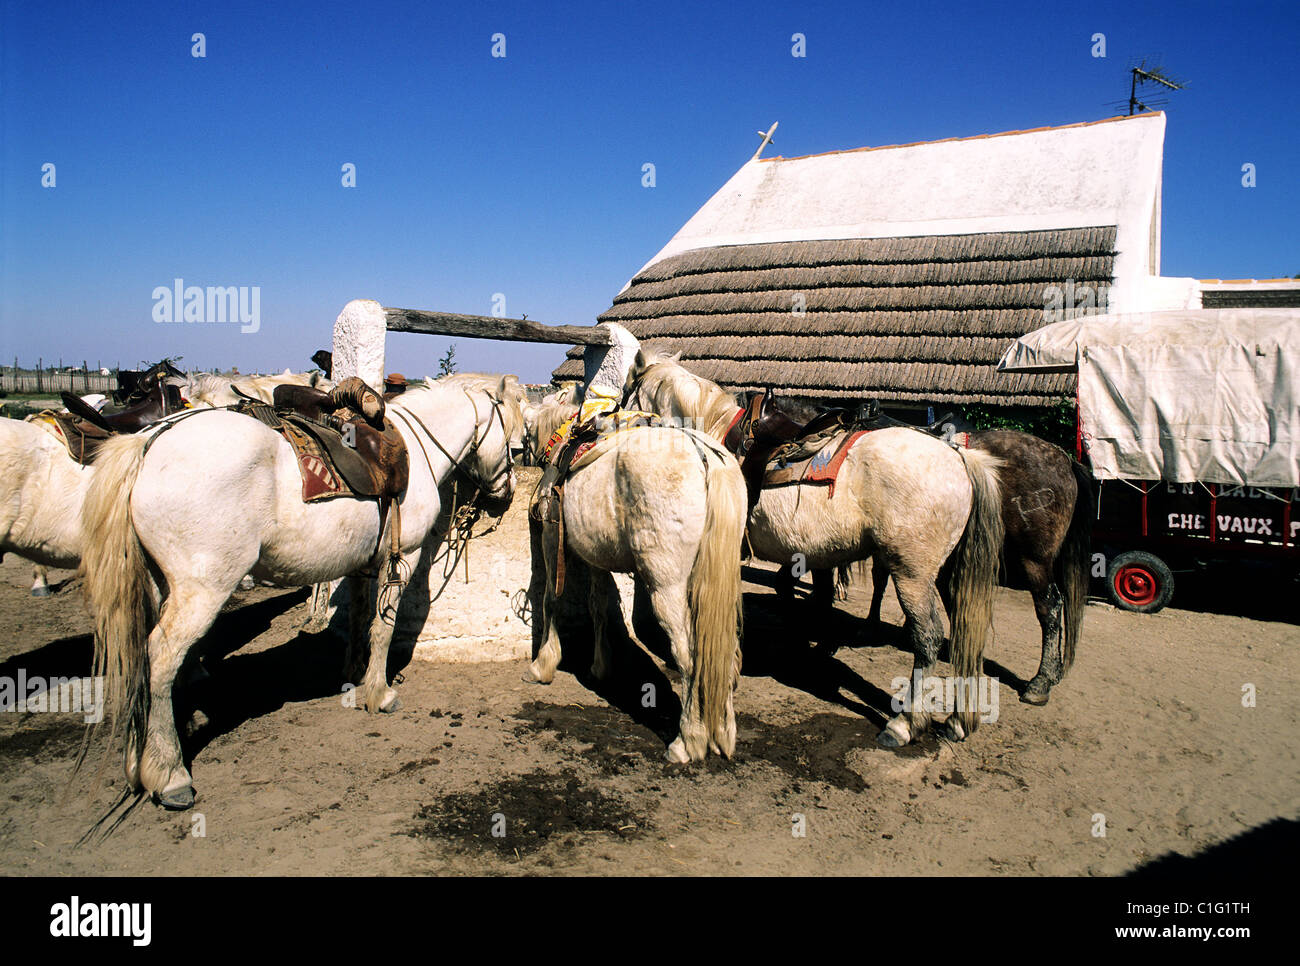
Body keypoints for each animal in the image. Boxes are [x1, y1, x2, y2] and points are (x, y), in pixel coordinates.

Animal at [78, 377, 521, 809]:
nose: (507, 493)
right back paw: (170, 775)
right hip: (200, 591)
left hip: (158, 587)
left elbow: (359, 617)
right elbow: (383, 628)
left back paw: (137, 764)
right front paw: (379, 693)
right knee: (161, 659)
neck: (416, 446)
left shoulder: (361, 562)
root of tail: (149, 442)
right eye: (513, 444)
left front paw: (354, 673)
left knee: (139, 658)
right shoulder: (403, 558)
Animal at [523, 394, 747, 763]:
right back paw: (724, 734)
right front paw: (600, 667)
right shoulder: (594, 555)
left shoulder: (552, 538)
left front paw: (542, 665)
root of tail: (705, 457)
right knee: (726, 655)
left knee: (688, 657)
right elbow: (598, 606)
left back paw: (687, 741)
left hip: (666, 587)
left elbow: (550, 601)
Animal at [624, 353, 1005, 747]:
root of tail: (960, 456)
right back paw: (958, 721)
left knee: (927, 637)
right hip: (946, 573)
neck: (712, 431)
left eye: (628, 392)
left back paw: (904, 724)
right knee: (964, 630)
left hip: (912, 574)